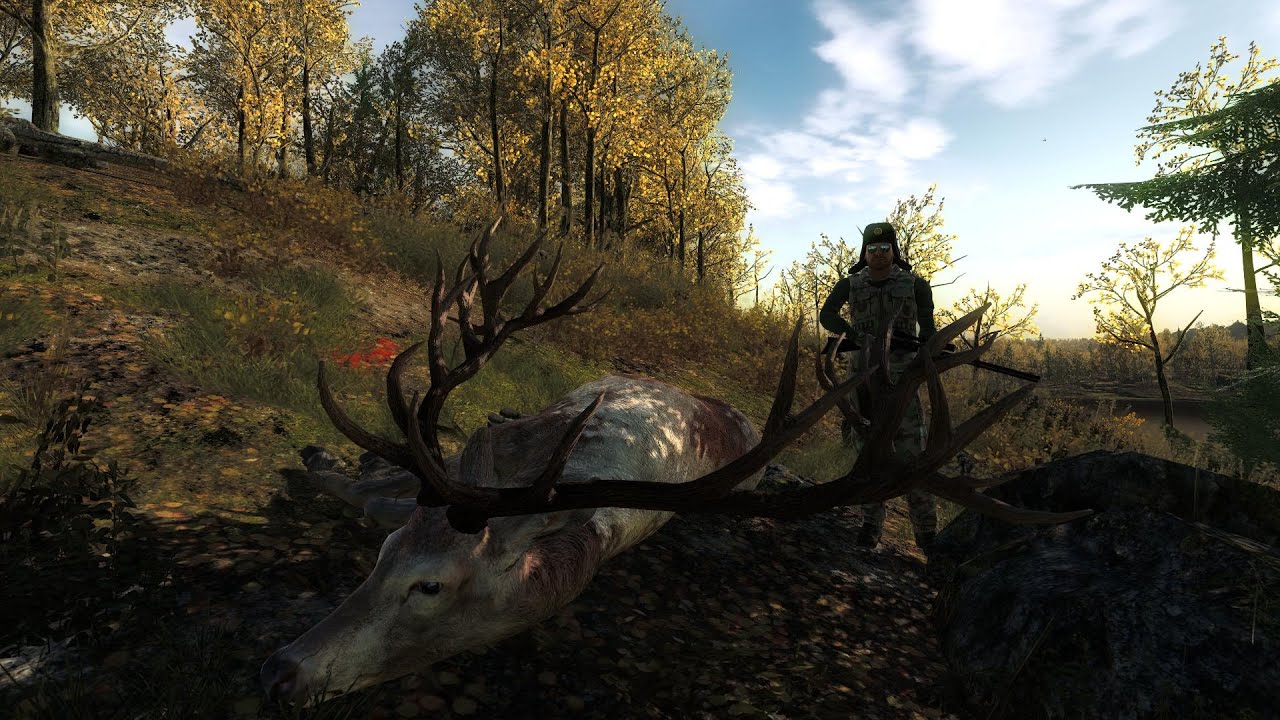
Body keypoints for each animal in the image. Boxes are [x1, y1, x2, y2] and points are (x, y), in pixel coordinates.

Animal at [260, 219, 1091, 705]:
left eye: (430, 587)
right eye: (381, 560)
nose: (284, 668)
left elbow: (376, 489)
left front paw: (315, 457)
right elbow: (384, 491)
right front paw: (321, 458)